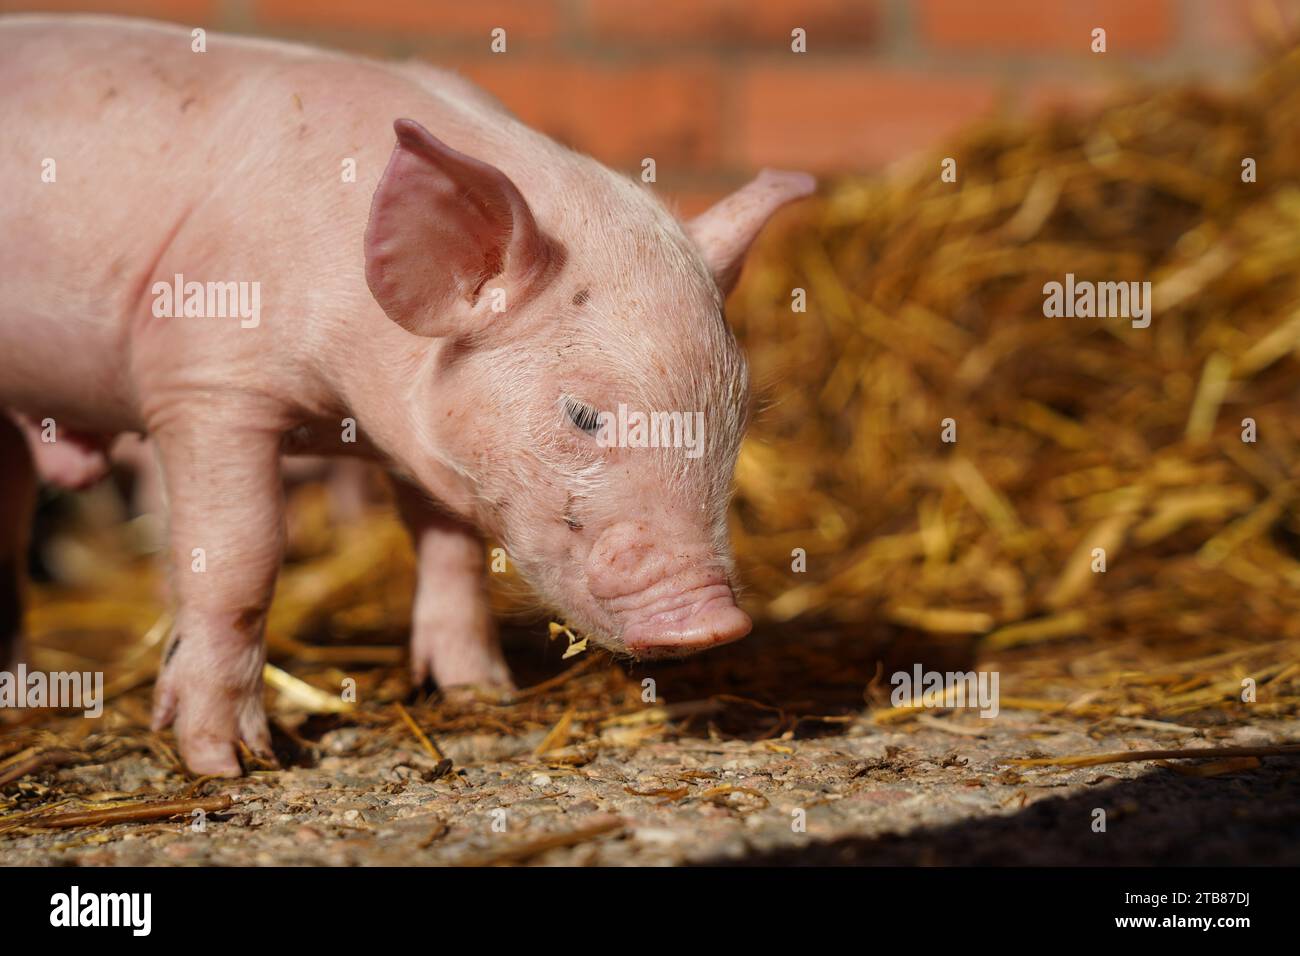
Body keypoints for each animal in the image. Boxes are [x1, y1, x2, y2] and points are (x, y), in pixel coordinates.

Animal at [0, 15, 815, 776]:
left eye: (738, 416)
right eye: (583, 415)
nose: (712, 621)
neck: (345, 403)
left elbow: (452, 552)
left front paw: (483, 693)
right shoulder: (205, 379)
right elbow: (241, 557)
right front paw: (229, 761)